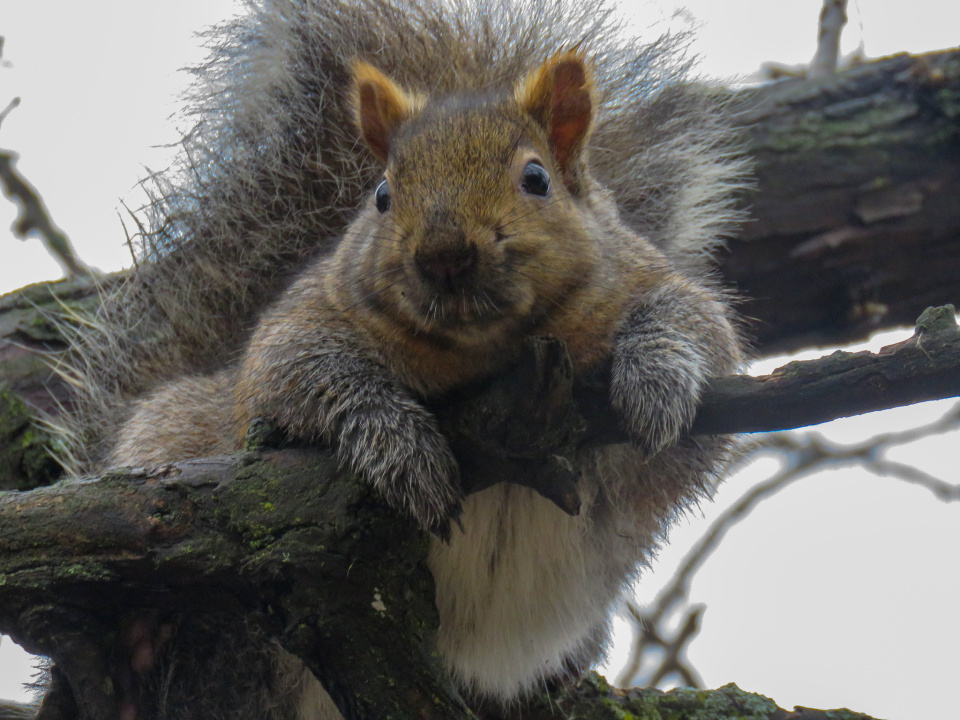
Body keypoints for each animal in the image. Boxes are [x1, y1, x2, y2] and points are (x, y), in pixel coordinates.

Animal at [49, 0, 747, 717]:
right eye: (382, 195)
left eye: (537, 179)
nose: (444, 253)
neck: (486, 355)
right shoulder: (297, 332)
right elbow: (307, 379)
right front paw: (399, 445)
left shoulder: (649, 287)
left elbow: (695, 332)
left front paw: (657, 378)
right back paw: (142, 641)